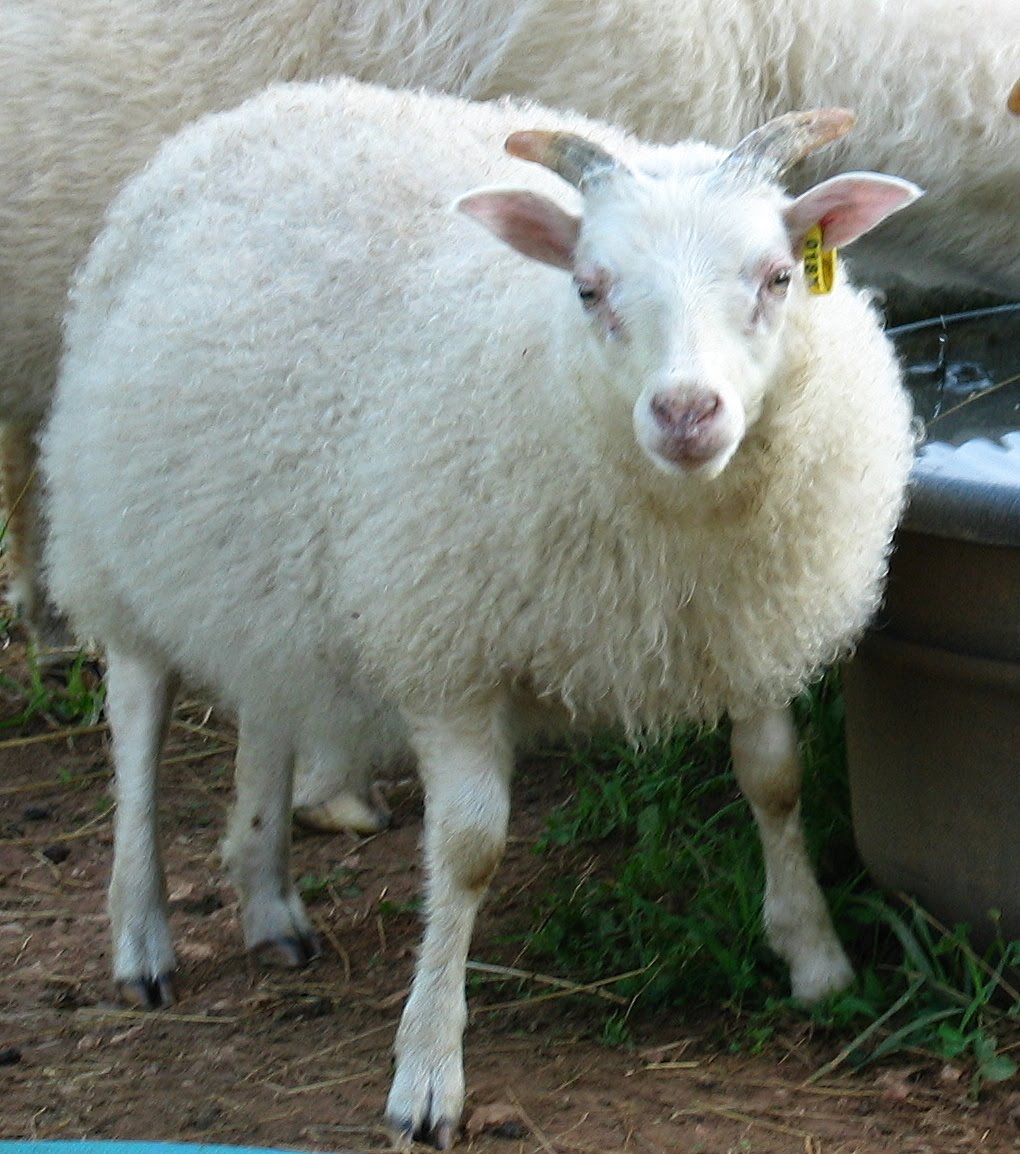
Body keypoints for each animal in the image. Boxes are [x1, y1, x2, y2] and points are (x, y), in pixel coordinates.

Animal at [40, 75, 921, 1144]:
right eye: (589, 287)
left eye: (779, 276)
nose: (686, 413)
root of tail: (257, 107)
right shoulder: (449, 648)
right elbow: (466, 852)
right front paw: (427, 1070)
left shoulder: (749, 622)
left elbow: (776, 781)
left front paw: (816, 957)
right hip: (109, 533)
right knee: (137, 715)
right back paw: (142, 937)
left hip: (260, 558)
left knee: (268, 700)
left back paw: (267, 901)